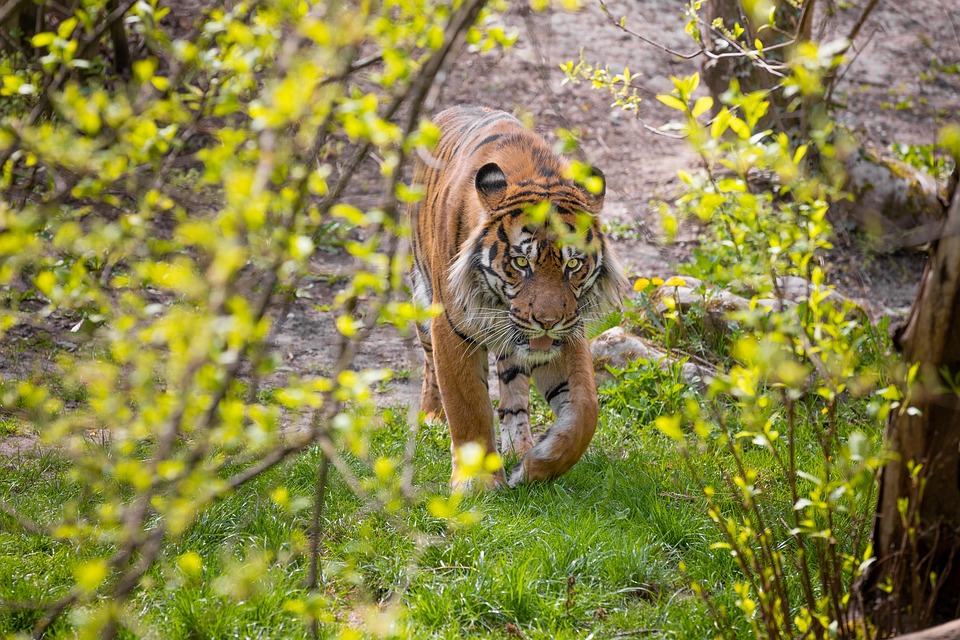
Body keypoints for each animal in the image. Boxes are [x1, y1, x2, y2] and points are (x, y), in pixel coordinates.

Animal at [409, 105, 628, 490]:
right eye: (521, 262)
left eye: (573, 264)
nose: (547, 322)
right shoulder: (451, 328)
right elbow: (468, 407)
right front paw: (477, 485)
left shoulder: (568, 331)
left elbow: (585, 410)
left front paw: (535, 465)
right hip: (423, 301)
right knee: (429, 364)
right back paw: (432, 416)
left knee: (513, 394)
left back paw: (519, 446)